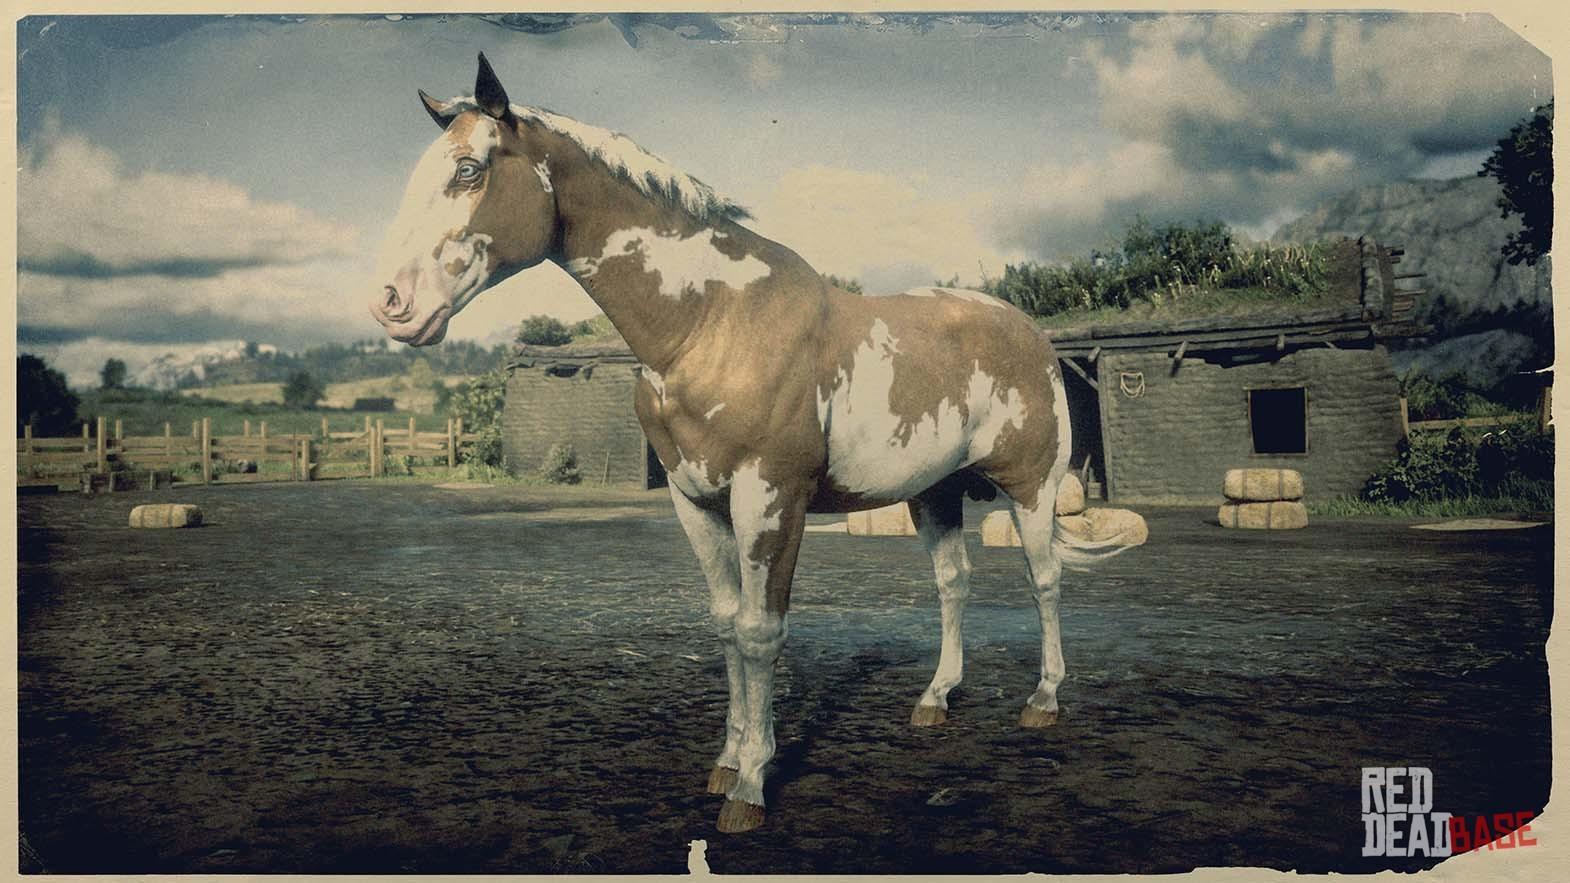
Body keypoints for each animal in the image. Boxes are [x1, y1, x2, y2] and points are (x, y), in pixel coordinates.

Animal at [371, 53, 1140, 833]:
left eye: (469, 169)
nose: (391, 303)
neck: (710, 320)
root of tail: (1030, 333)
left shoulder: (771, 497)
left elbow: (760, 629)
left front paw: (750, 786)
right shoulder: (695, 501)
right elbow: (726, 625)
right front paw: (727, 760)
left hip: (1031, 487)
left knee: (1044, 579)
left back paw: (1043, 700)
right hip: (934, 493)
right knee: (952, 582)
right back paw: (934, 699)